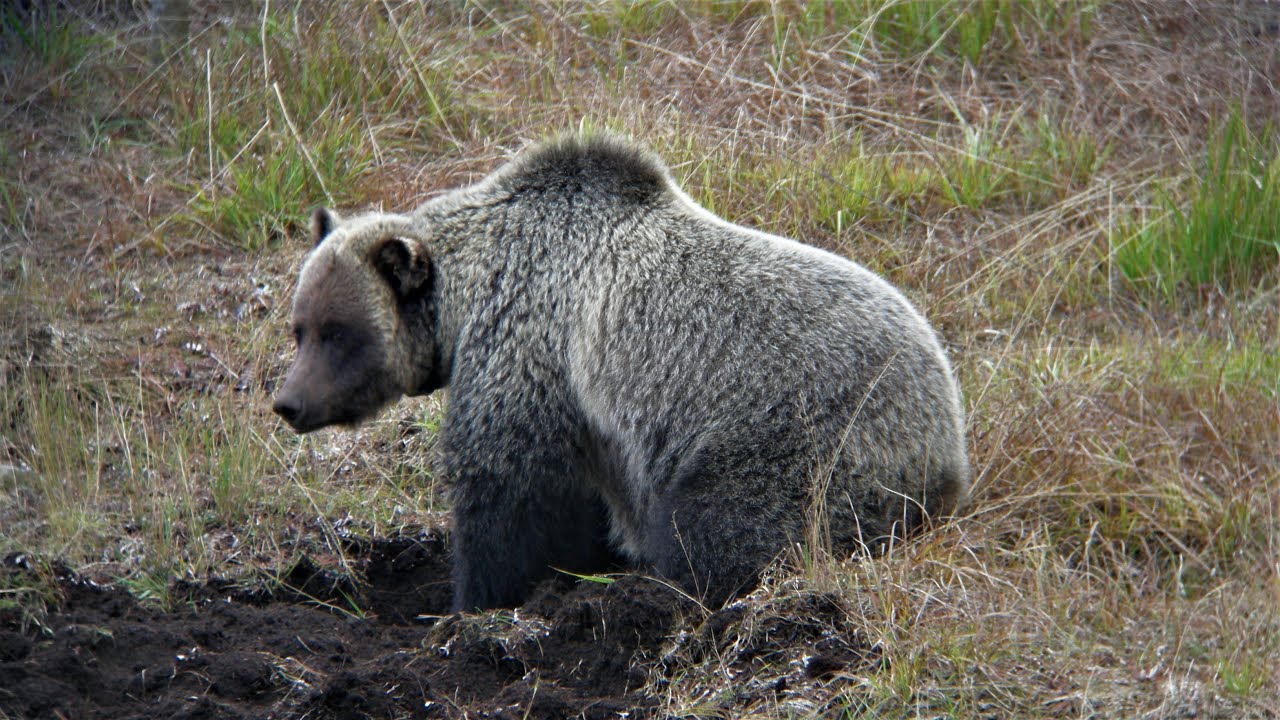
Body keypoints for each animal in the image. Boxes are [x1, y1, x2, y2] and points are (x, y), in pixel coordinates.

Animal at [272, 133, 970, 612]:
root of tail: (950, 450)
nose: (288, 403)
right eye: (299, 326)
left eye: (339, 333)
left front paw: (473, 600)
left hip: (797, 437)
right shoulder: (586, 419)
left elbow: (508, 492)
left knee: (721, 528)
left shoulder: (527, 344)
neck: (466, 302)